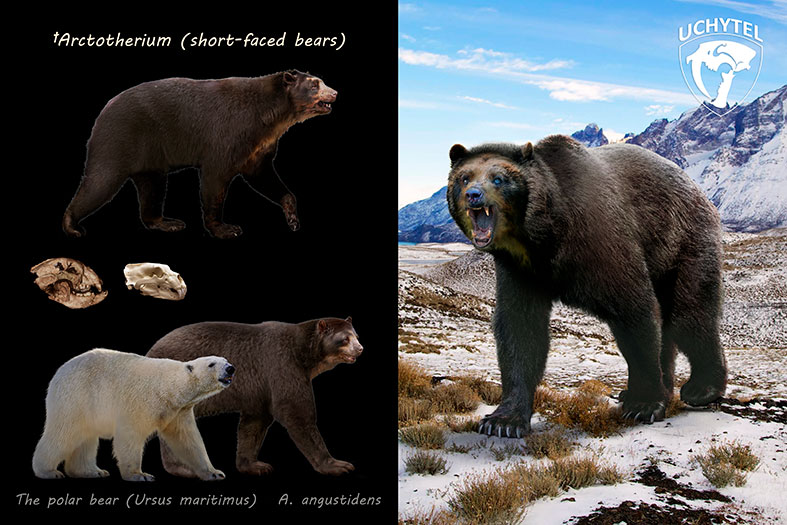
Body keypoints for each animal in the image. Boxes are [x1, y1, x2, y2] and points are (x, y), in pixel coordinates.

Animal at [32, 348, 235, 481]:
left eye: (225, 359)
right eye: (211, 364)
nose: (230, 368)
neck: (167, 388)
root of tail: (59, 372)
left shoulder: (178, 411)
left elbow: (187, 440)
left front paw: (214, 472)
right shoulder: (140, 401)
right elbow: (130, 435)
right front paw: (139, 475)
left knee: (85, 437)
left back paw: (92, 471)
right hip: (76, 396)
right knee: (64, 432)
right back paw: (48, 471)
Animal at [62, 70, 338, 239]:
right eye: (315, 84)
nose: (335, 92)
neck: (270, 116)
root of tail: (102, 112)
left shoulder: (260, 146)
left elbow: (264, 176)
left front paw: (292, 218)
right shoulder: (233, 131)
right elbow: (215, 176)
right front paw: (225, 228)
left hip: (150, 156)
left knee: (152, 185)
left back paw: (167, 222)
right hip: (119, 139)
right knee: (100, 181)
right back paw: (72, 224)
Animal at [146, 317, 362, 477]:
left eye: (357, 335)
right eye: (345, 338)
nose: (360, 348)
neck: (301, 351)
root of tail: (149, 352)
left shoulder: (259, 389)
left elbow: (254, 423)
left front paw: (253, 465)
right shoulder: (282, 365)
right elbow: (295, 412)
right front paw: (337, 465)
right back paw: (183, 467)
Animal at [446, 136, 726, 437]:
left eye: (498, 179)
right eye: (464, 177)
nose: (474, 194)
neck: (545, 236)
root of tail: (697, 190)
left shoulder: (601, 240)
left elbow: (634, 309)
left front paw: (644, 404)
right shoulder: (520, 271)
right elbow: (520, 330)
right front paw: (502, 421)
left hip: (681, 241)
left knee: (689, 313)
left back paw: (702, 387)